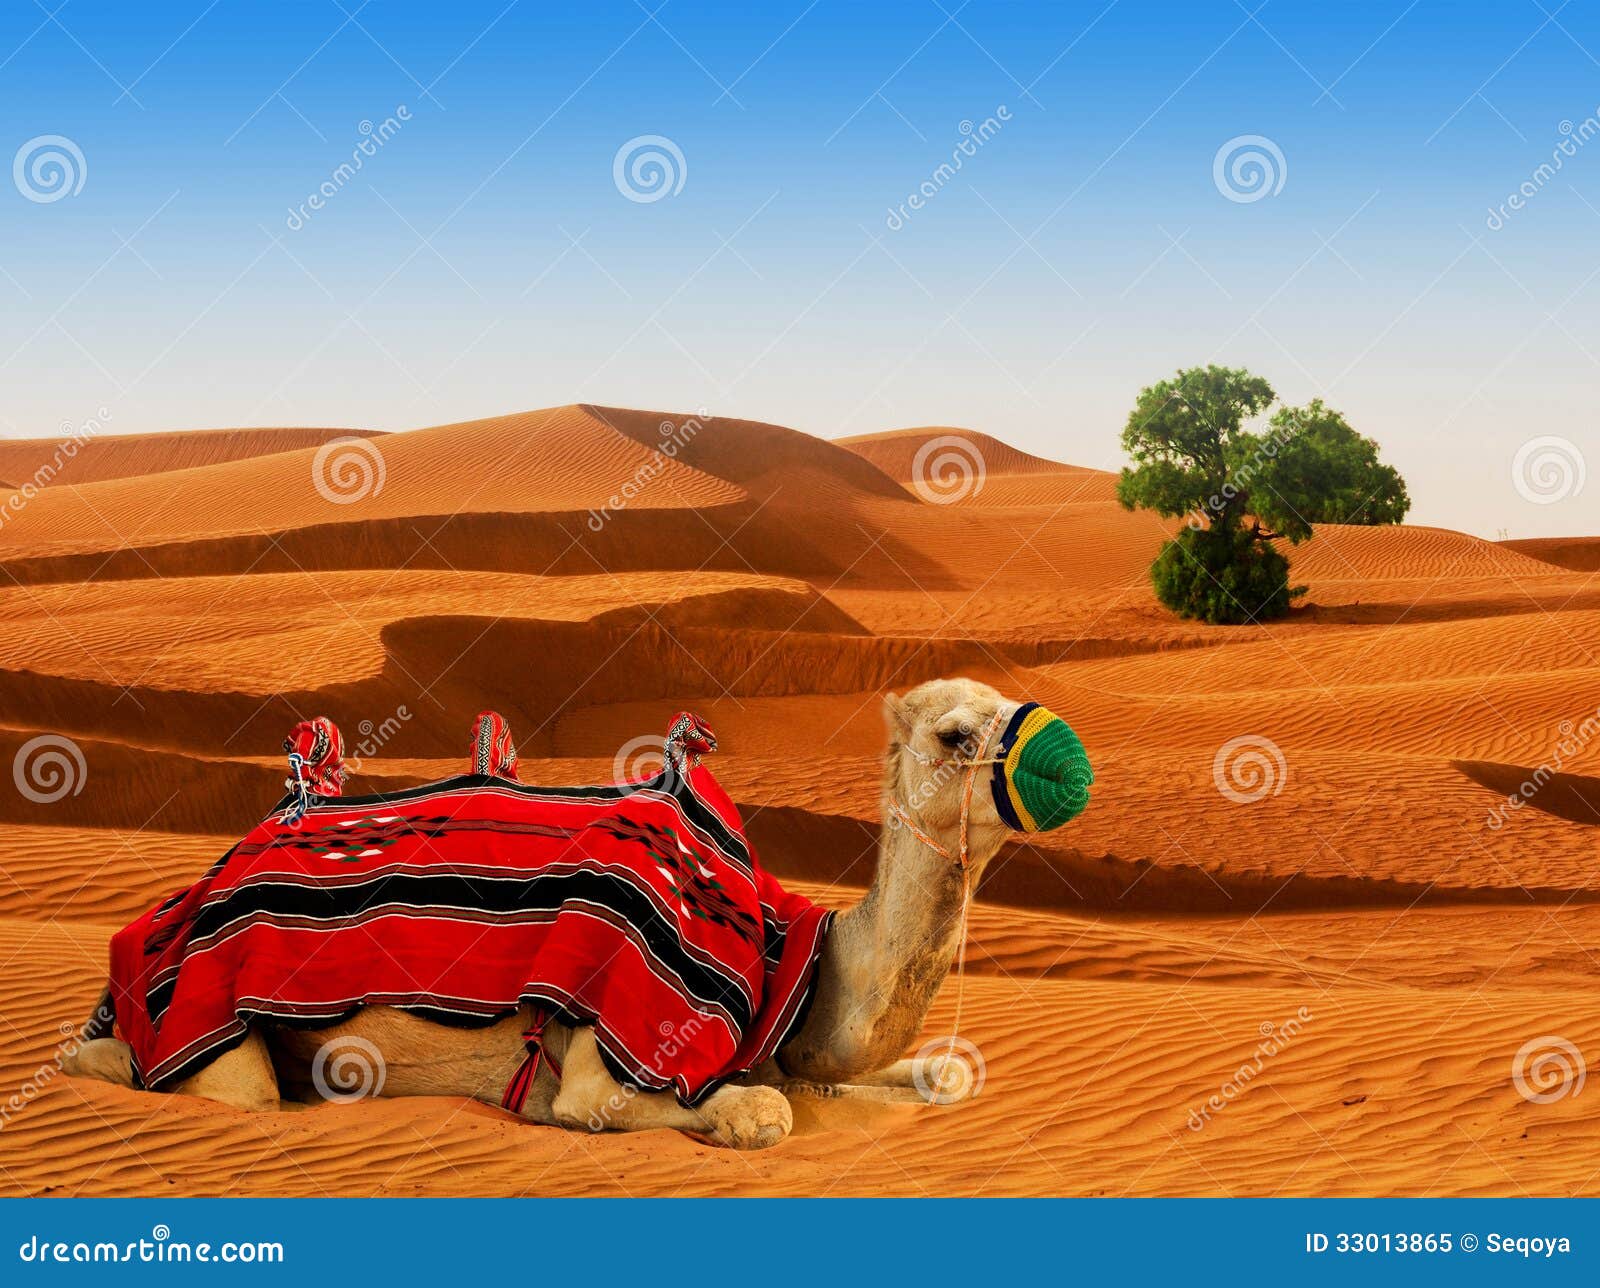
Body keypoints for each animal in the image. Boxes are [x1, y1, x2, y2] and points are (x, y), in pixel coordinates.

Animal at [66, 677, 1089, 1149]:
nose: (1066, 760)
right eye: (954, 734)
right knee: (211, 1083)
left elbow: (945, 1077)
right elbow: (747, 1114)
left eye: (1007, 701)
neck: (786, 960)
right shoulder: (616, 1037)